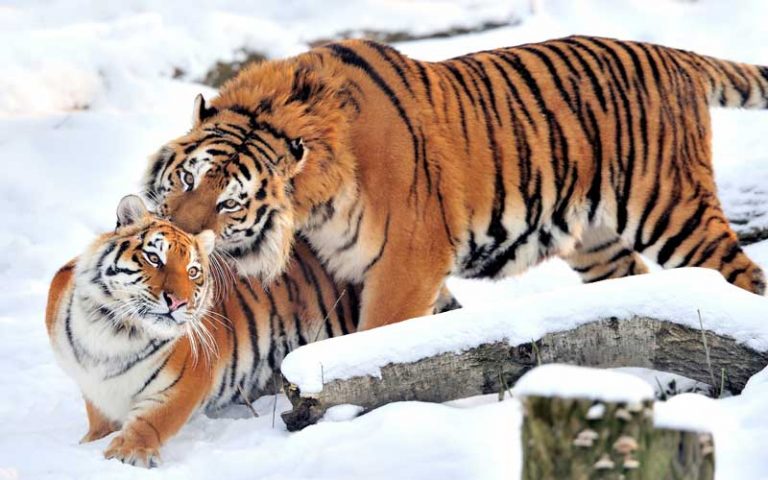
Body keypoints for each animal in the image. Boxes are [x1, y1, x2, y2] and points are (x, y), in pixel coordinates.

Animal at [45, 195, 367, 467]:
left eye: (193, 272)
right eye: (155, 259)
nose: (178, 302)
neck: (114, 330)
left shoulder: (184, 383)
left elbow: (153, 420)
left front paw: (129, 453)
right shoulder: (90, 379)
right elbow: (98, 415)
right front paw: (93, 440)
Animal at [142, 35, 768, 331]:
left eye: (230, 204)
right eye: (186, 179)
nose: (178, 236)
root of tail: (671, 55)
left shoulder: (406, 262)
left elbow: (375, 334)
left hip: (672, 209)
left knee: (742, 276)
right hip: (596, 239)